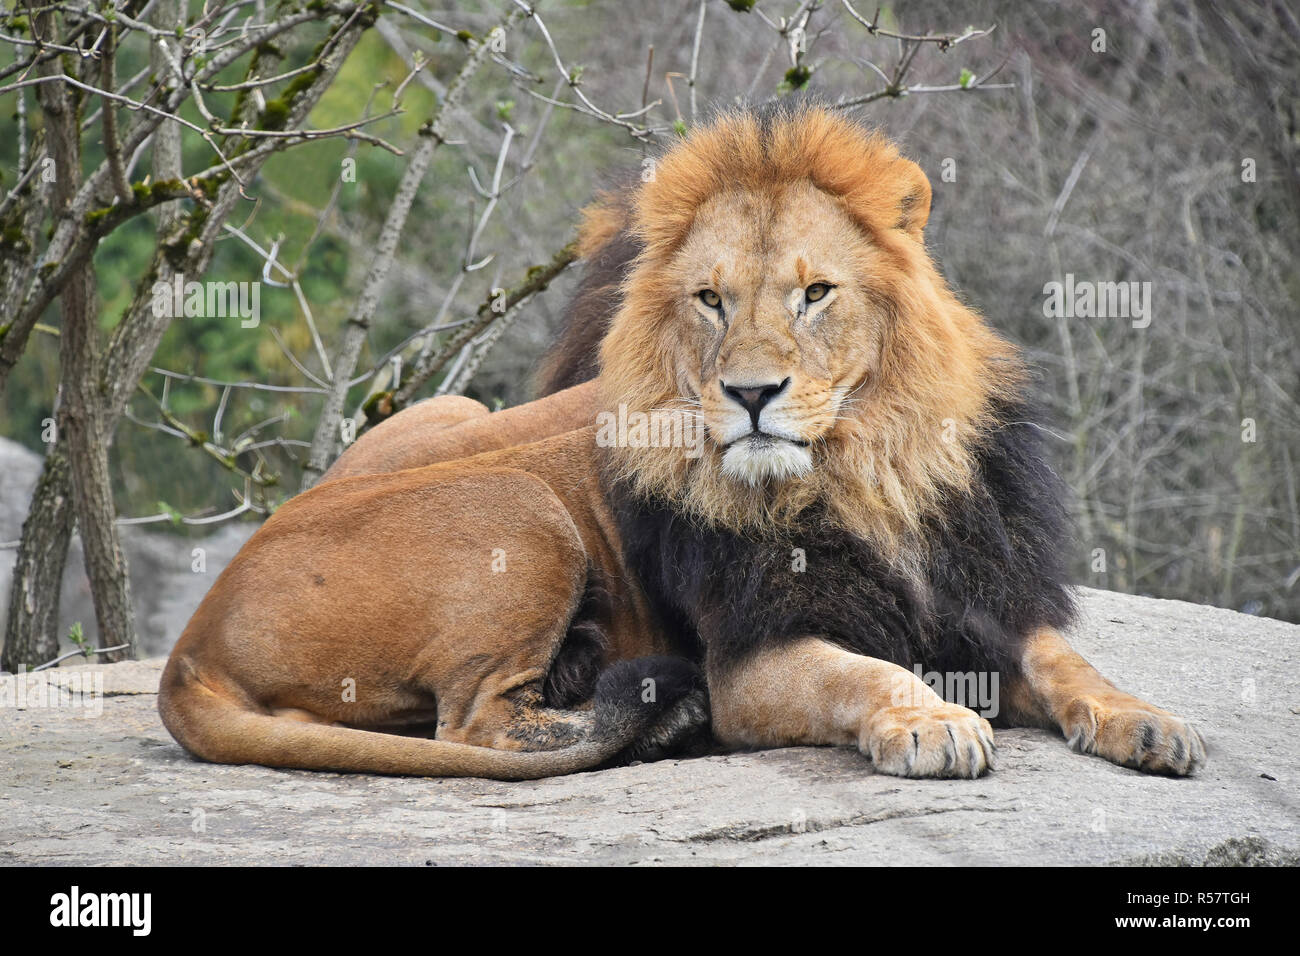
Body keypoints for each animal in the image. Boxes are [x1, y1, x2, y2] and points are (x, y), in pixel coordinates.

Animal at [159, 104, 1206, 779]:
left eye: (814, 293)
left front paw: (1152, 723)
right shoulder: (756, 655)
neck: (869, 473)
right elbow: (866, 671)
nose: (750, 393)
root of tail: (192, 639)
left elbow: (1069, 665)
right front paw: (931, 722)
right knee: (473, 731)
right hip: (521, 507)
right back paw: (662, 713)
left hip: (454, 413)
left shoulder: (985, 601)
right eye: (710, 299)